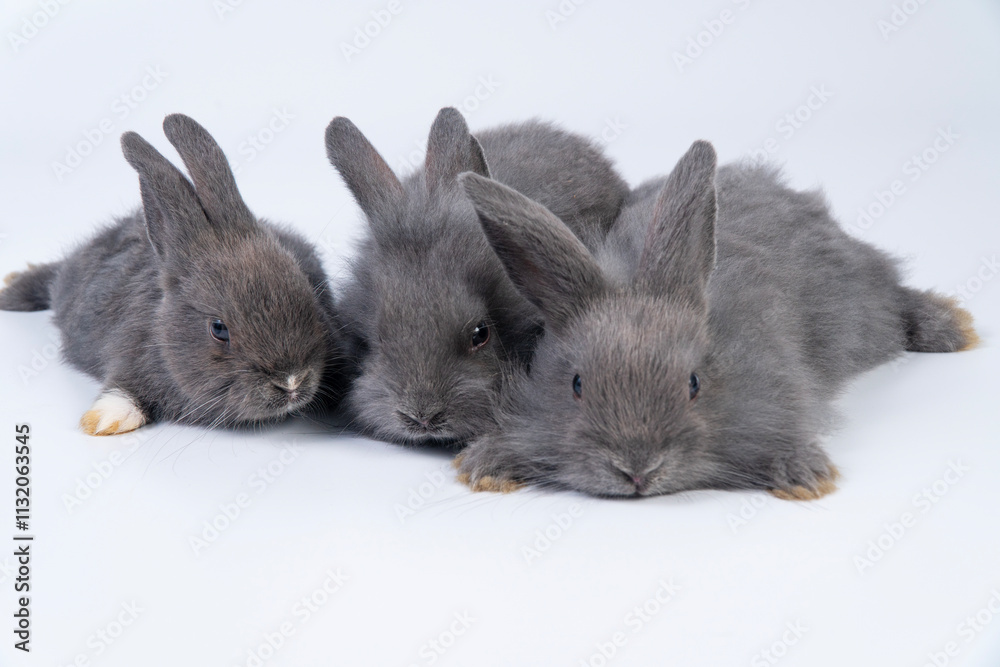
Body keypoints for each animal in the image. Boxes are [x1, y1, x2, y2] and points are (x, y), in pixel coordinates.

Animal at [0, 114, 344, 435]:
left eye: (310, 297)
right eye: (218, 329)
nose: (291, 382)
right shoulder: (129, 355)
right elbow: (123, 392)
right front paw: (102, 421)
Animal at [454, 140, 978, 499]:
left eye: (694, 384)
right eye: (577, 386)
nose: (638, 470)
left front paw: (804, 474)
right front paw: (487, 463)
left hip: (866, 302)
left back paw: (951, 326)